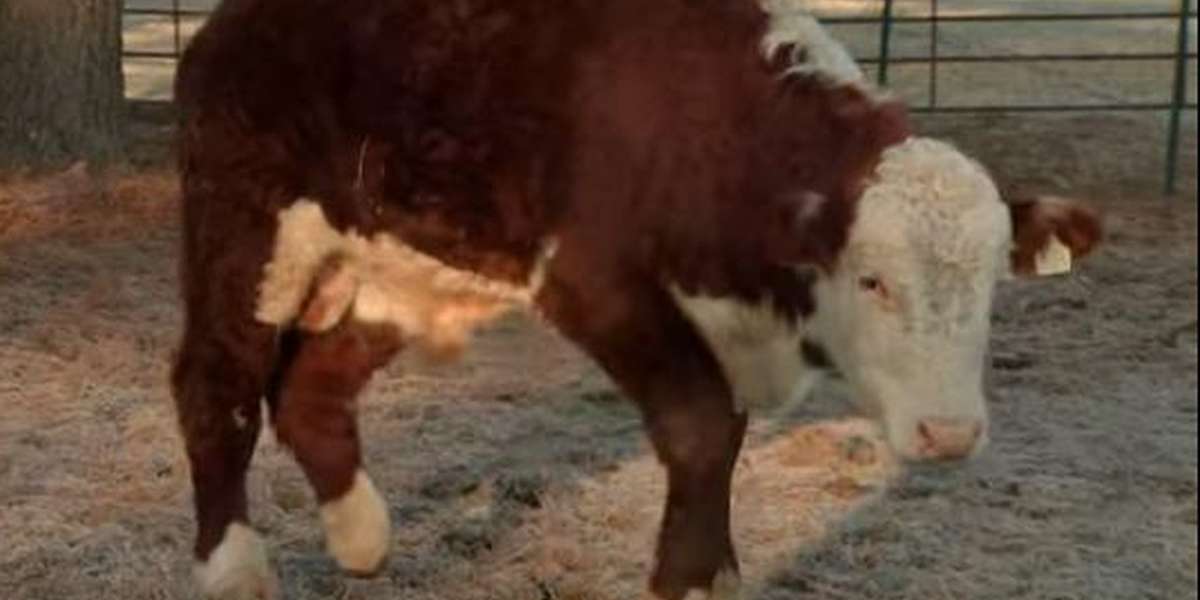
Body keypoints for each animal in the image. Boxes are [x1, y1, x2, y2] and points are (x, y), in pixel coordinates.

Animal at [170, 1, 1102, 599]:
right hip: (245, 231)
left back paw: (362, 540)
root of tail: (227, 25)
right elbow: (701, 425)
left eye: (992, 283)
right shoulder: (596, 278)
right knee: (216, 384)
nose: (950, 433)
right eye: (871, 279)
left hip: (394, 264)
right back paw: (233, 569)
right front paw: (690, 581)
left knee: (312, 392)